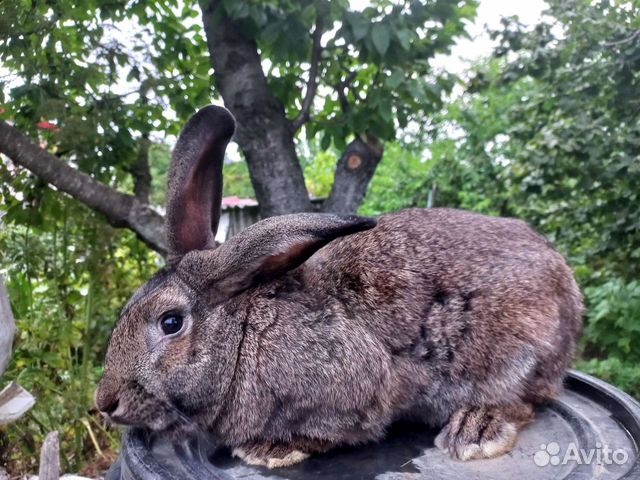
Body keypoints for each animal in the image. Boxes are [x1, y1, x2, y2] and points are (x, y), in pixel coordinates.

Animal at [95, 105, 583, 469]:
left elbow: (332, 432)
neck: (243, 334)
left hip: (517, 356)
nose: (105, 402)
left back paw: (475, 430)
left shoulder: (354, 390)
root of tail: (564, 280)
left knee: (528, 402)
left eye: (170, 322)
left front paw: (269, 450)